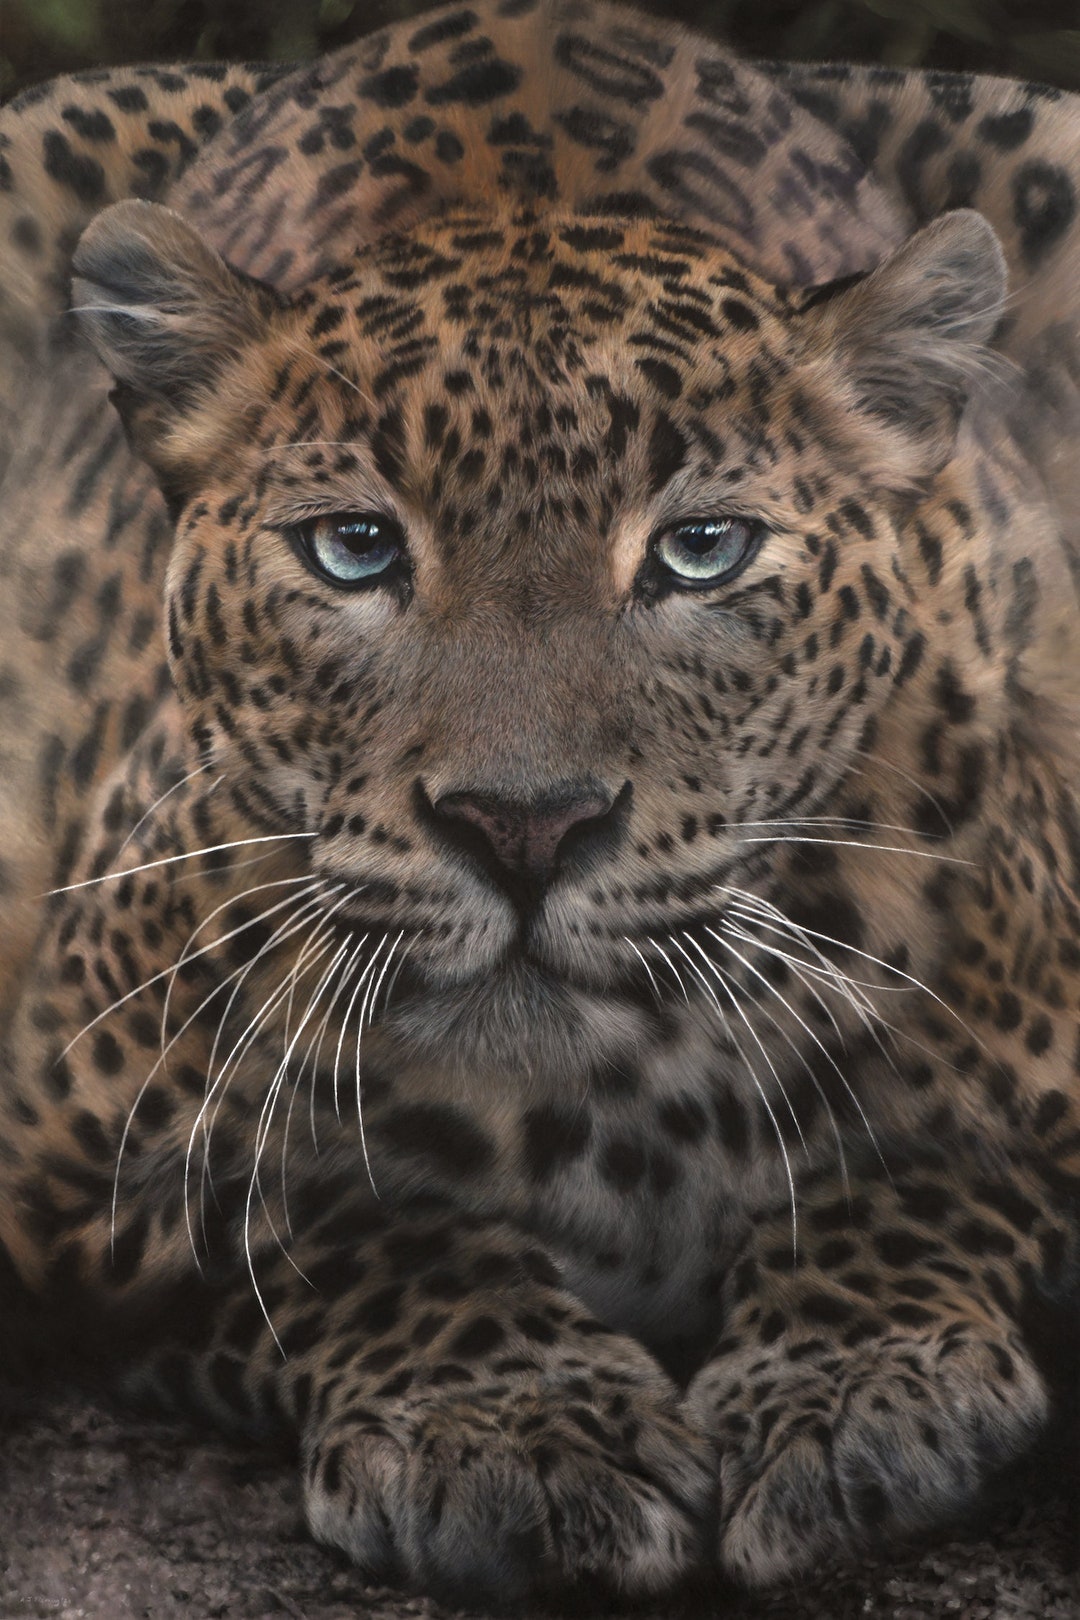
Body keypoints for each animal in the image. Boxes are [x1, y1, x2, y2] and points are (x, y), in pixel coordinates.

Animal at [2, 0, 1080, 1604]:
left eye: (702, 549)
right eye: (353, 547)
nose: (525, 827)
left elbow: (943, 1177)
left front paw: (857, 1390)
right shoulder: (63, 1161)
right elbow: (336, 1229)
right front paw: (509, 1425)